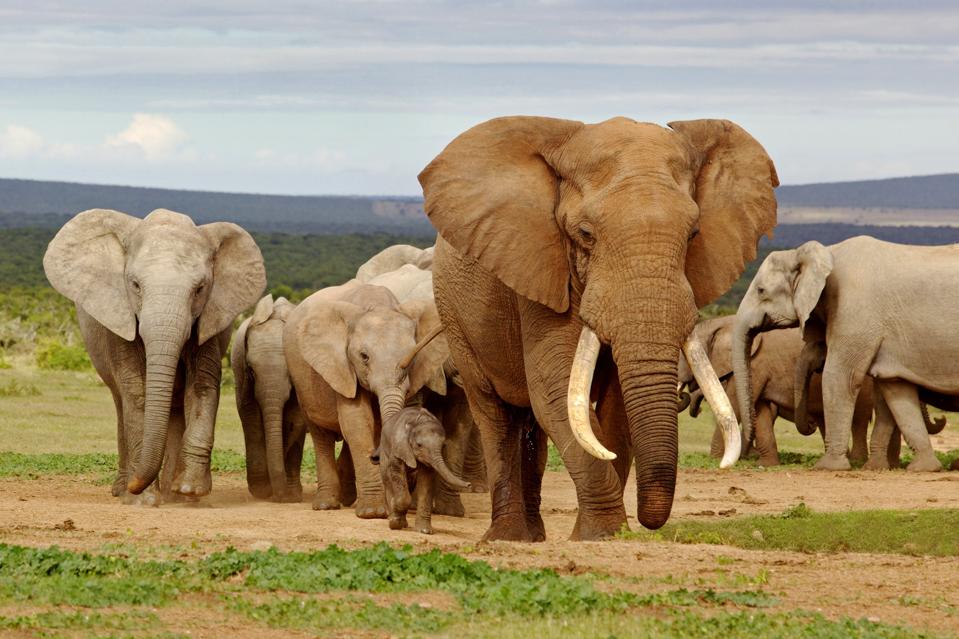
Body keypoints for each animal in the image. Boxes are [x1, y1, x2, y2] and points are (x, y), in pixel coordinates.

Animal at [43, 209, 266, 503]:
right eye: (135, 285)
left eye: (200, 289)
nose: (135, 485)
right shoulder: (120, 318)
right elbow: (137, 391)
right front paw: (142, 500)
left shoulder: (208, 319)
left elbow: (202, 386)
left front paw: (190, 491)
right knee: (120, 400)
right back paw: (125, 490)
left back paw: (173, 495)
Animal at [231, 294, 305, 502]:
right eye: (251, 370)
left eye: (290, 372)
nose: (279, 497)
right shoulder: (241, 372)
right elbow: (250, 416)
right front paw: (262, 490)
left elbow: (295, 420)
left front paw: (291, 496)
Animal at [283, 280, 448, 517]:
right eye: (364, 357)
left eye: (413, 355)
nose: (376, 457)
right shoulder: (344, 367)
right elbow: (358, 422)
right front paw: (373, 512)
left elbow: (376, 425)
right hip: (302, 382)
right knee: (320, 434)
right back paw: (326, 505)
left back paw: (345, 498)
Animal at [419, 115, 779, 540]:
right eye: (585, 234)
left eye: (693, 234)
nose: (648, 522)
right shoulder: (541, 269)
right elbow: (555, 387)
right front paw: (604, 534)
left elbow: (615, 405)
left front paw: (602, 534)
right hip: (455, 316)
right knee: (496, 414)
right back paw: (507, 537)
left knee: (531, 423)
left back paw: (535, 536)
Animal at [733, 237, 958, 472]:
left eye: (761, 290)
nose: (811, 424)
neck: (823, 254)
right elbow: (896, 392)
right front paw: (922, 468)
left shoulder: (853, 313)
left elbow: (839, 378)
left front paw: (827, 467)